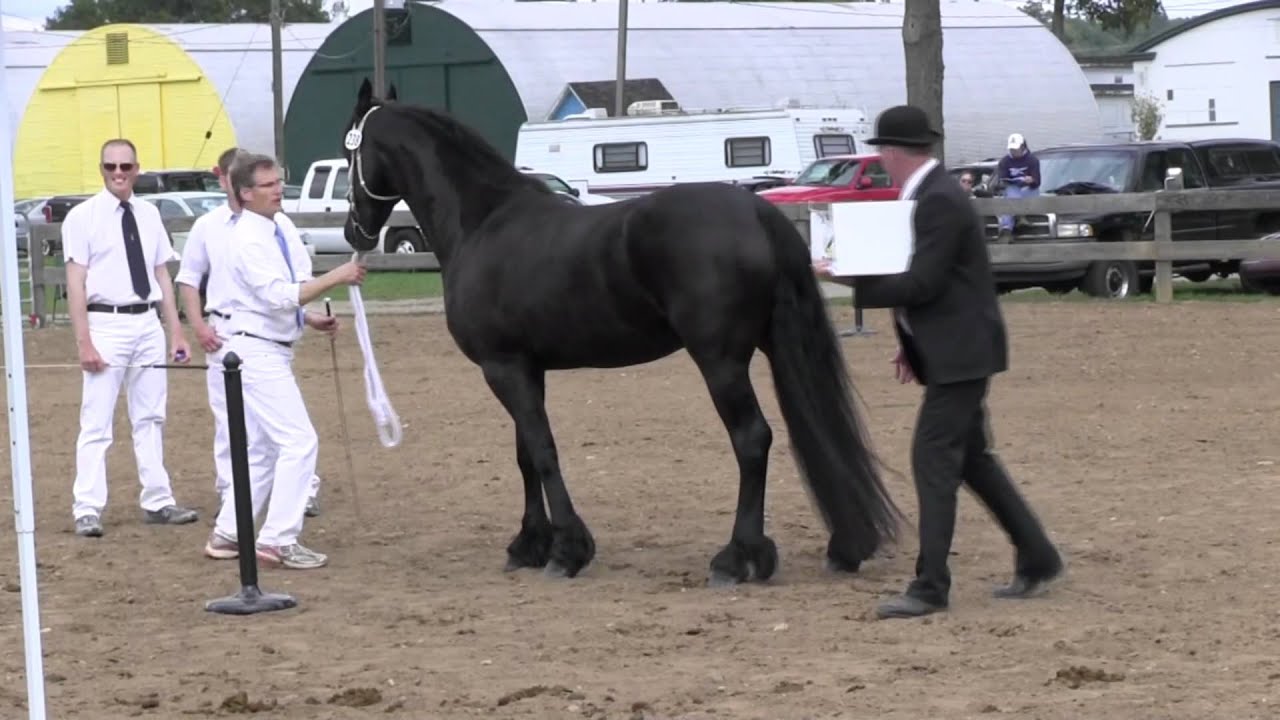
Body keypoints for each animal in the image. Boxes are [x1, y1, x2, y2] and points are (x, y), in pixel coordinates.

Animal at [339, 77, 902, 586]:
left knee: (751, 439)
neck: (484, 223)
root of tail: (758, 211)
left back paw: (737, 558)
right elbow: (525, 454)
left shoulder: (503, 367)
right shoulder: (523, 368)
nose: (353, 230)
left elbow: (542, 450)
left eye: (351, 152)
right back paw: (841, 546)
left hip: (720, 361)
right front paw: (529, 545)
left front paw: (568, 550)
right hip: (778, 347)